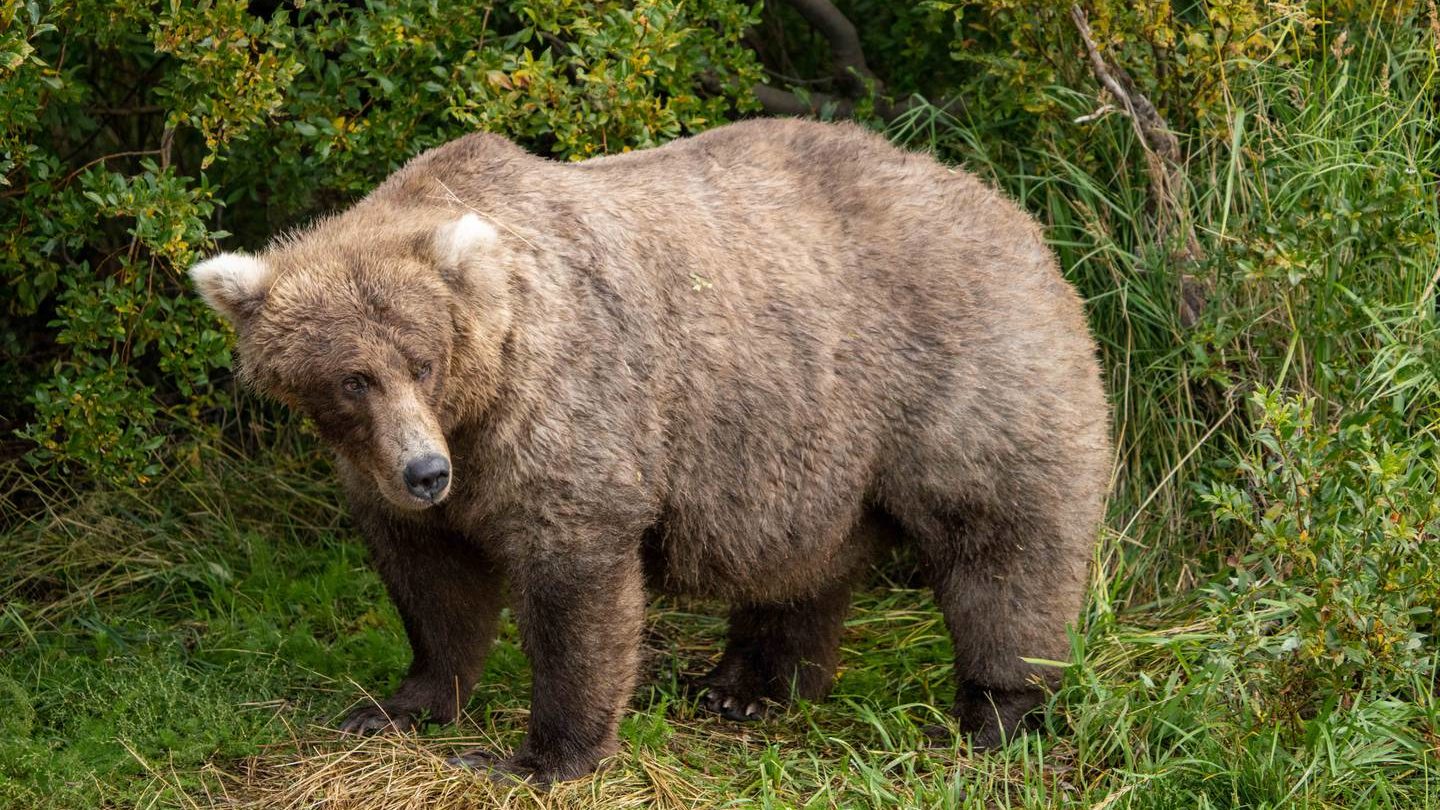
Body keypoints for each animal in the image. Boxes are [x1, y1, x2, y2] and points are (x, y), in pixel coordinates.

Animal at [190, 118, 1111, 784]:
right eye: (351, 380)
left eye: (420, 360)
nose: (426, 473)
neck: (477, 406)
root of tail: (1012, 210)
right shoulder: (395, 472)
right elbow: (433, 583)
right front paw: (396, 704)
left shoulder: (567, 409)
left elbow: (575, 581)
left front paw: (537, 756)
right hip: (812, 440)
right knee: (803, 563)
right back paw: (746, 689)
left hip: (959, 377)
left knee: (1002, 545)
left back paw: (998, 712)